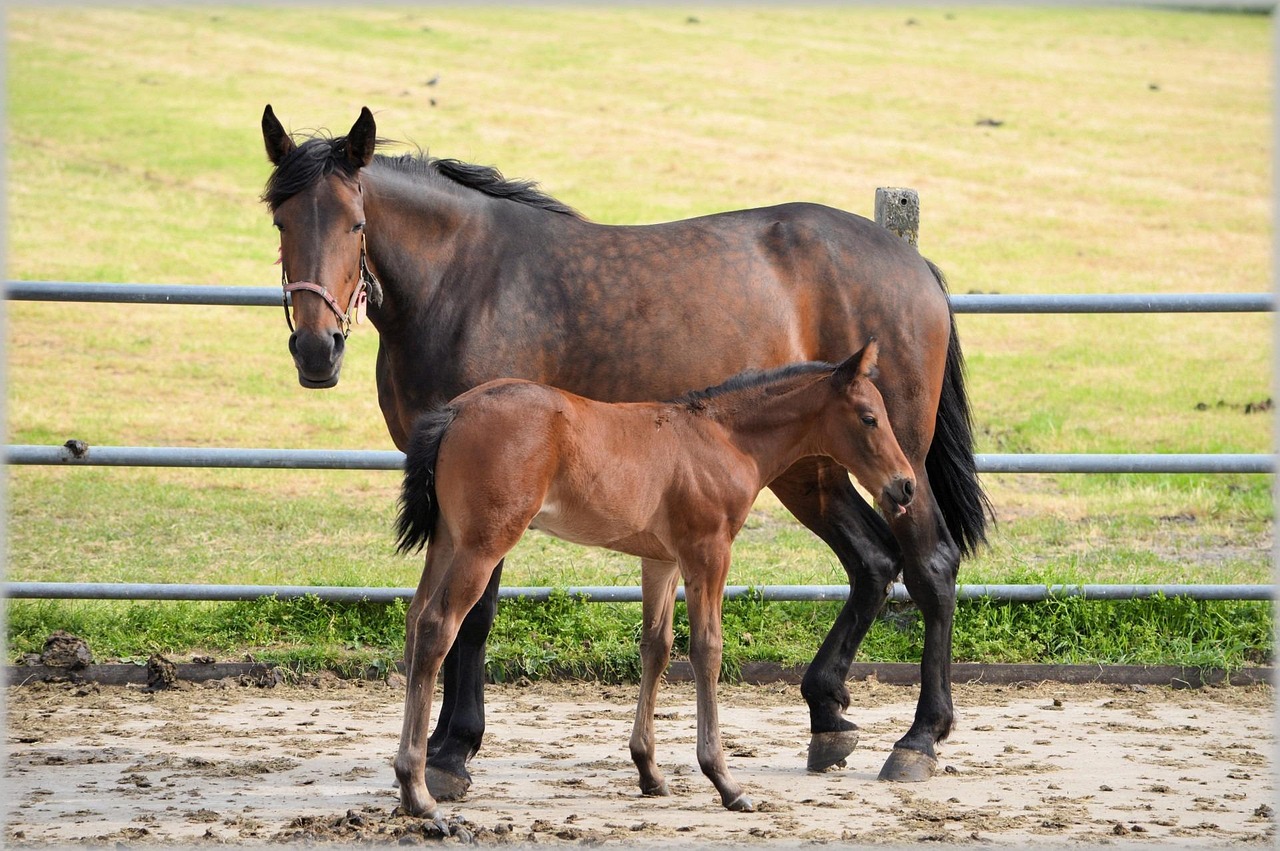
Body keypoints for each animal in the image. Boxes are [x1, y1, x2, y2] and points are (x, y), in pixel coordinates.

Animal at [394, 342, 915, 818]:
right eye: (869, 418)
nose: (905, 485)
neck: (724, 440)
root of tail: (457, 410)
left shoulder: (661, 560)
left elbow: (657, 647)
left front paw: (649, 771)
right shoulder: (708, 552)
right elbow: (707, 649)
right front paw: (724, 781)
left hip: (448, 541)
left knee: (416, 620)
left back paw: (407, 782)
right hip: (483, 545)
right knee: (438, 626)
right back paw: (419, 792)